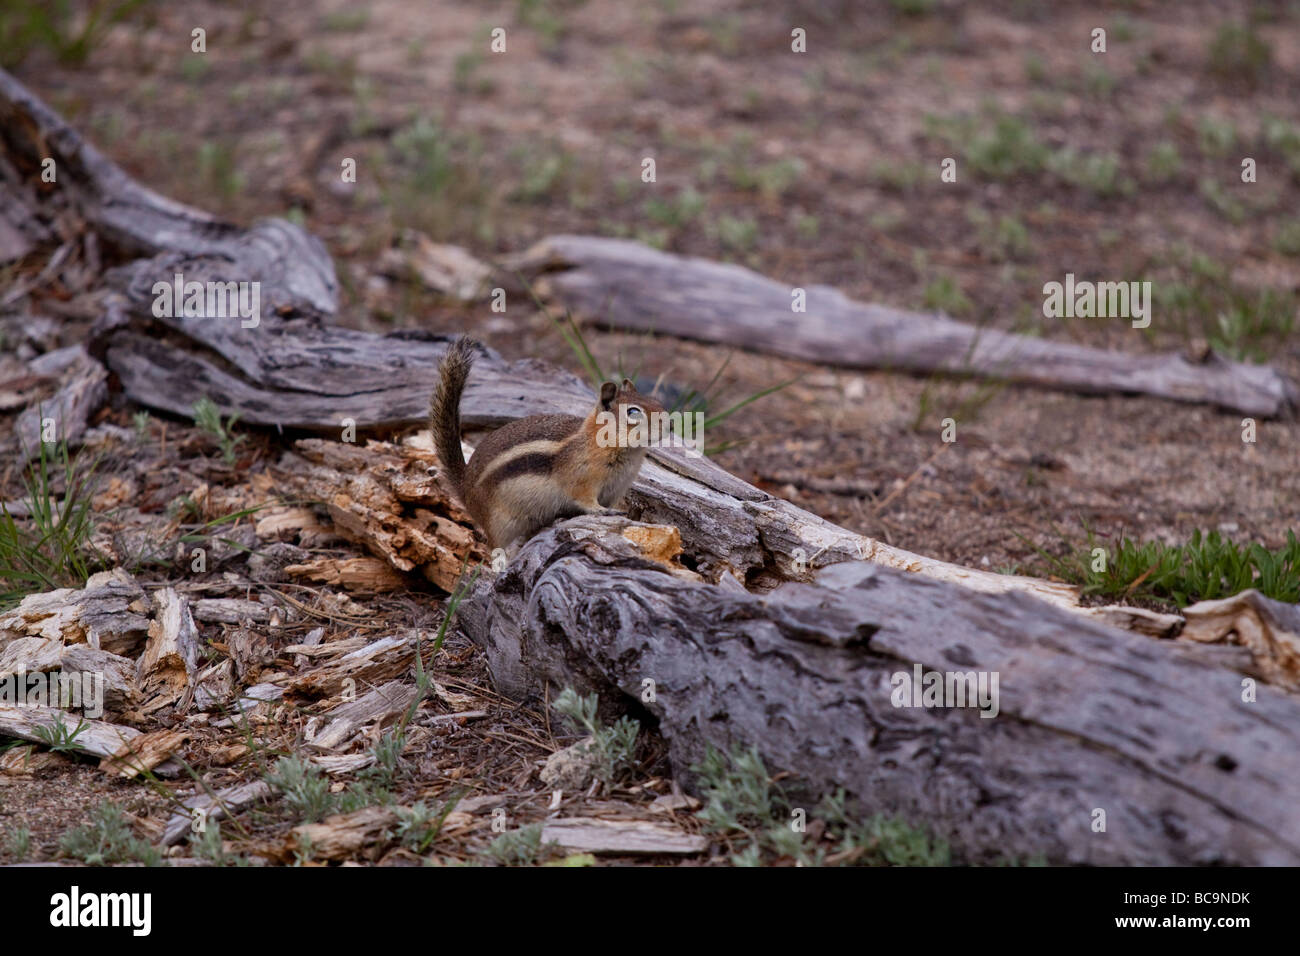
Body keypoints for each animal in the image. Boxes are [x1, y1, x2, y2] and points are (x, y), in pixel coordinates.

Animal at [430, 336, 665, 554]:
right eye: (633, 412)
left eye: (657, 402)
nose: (668, 423)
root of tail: (464, 487)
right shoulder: (581, 480)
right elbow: (585, 500)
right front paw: (602, 511)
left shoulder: (616, 489)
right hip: (499, 521)